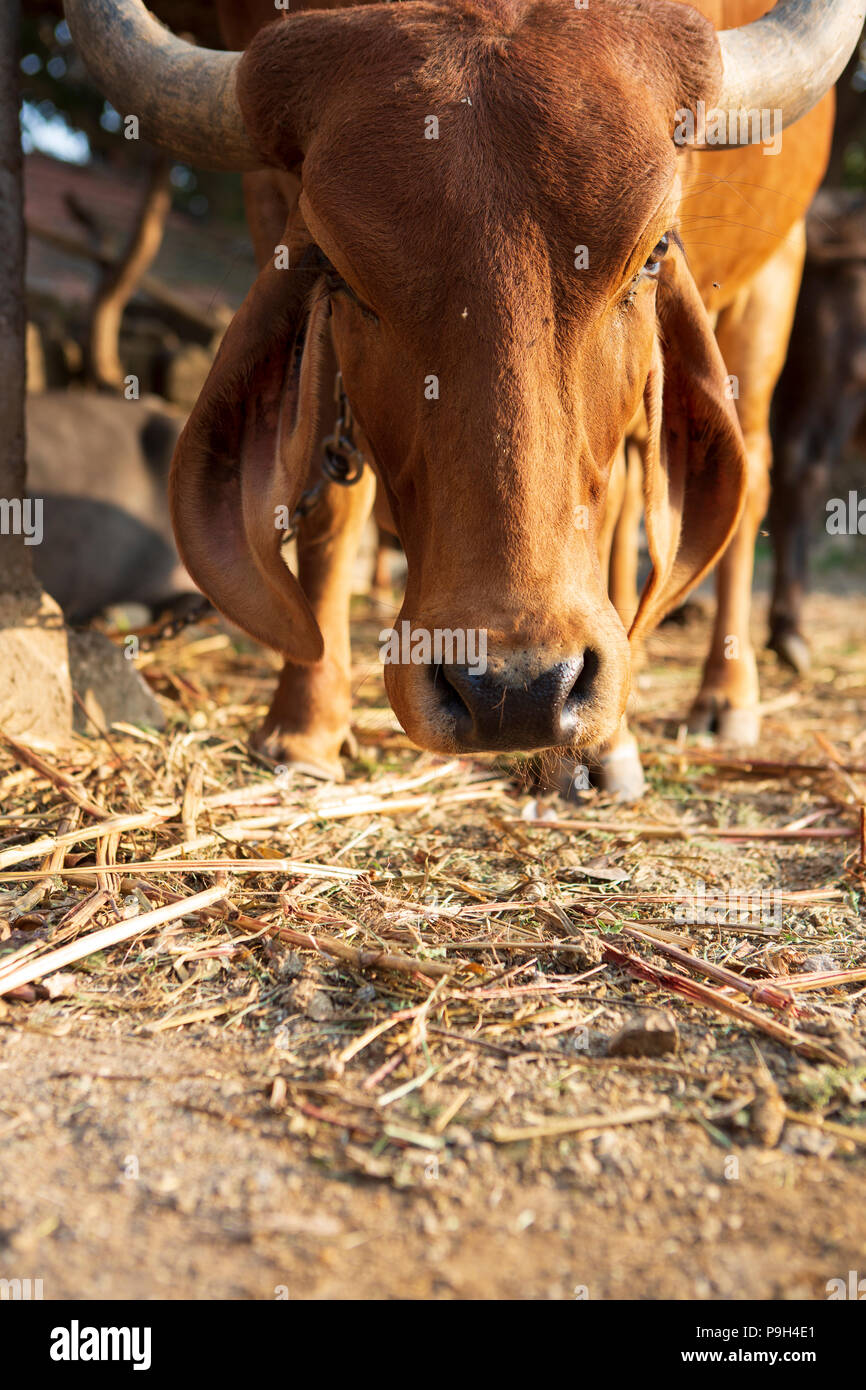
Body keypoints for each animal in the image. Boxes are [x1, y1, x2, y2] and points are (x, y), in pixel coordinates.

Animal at [63, 0, 863, 791]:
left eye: (654, 251)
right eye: (338, 269)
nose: (517, 691)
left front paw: (609, 740)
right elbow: (330, 501)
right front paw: (304, 724)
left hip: (775, 278)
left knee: (752, 478)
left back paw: (724, 696)